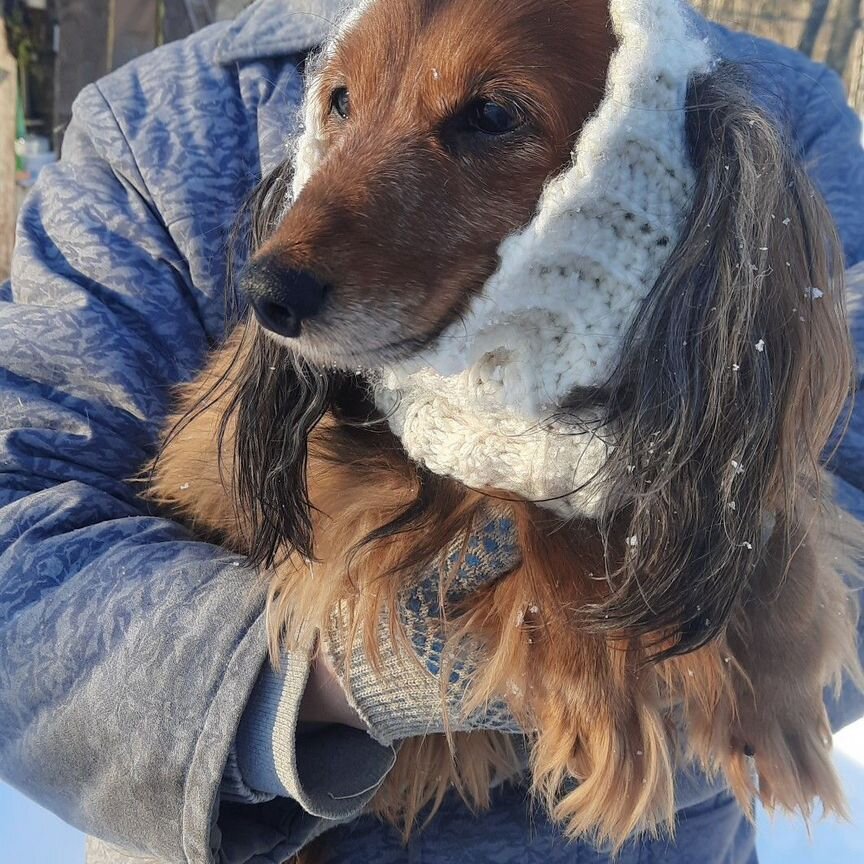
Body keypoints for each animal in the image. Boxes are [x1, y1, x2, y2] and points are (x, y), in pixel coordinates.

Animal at [145, 0, 860, 852]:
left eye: (491, 115)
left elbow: (765, 533)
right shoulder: (339, 482)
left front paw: (781, 715)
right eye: (340, 100)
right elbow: (530, 518)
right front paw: (602, 696)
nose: (264, 292)